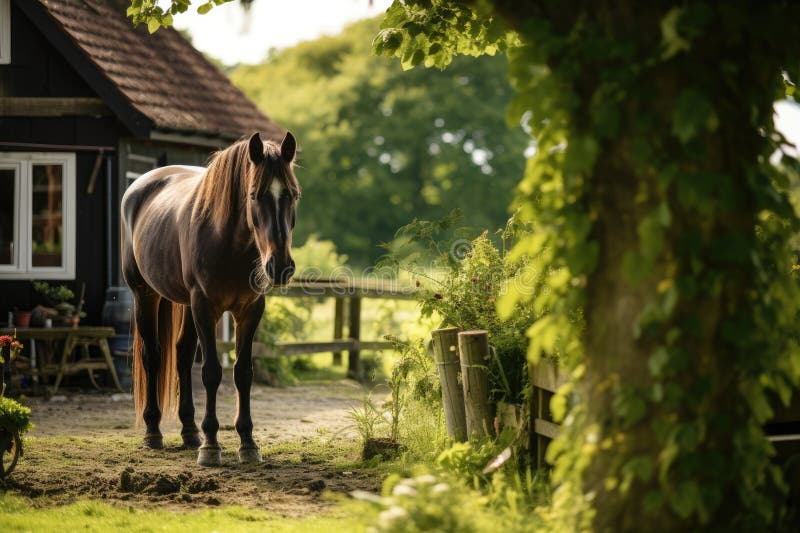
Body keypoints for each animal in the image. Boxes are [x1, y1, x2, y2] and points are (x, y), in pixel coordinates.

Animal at [121, 131, 299, 466]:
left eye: (294, 195)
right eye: (253, 195)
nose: (280, 266)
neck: (229, 243)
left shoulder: (250, 310)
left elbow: (242, 372)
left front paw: (247, 443)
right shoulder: (205, 307)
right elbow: (211, 372)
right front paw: (211, 446)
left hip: (184, 304)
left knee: (181, 355)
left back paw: (190, 432)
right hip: (145, 294)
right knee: (153, 355)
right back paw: (153, 431)